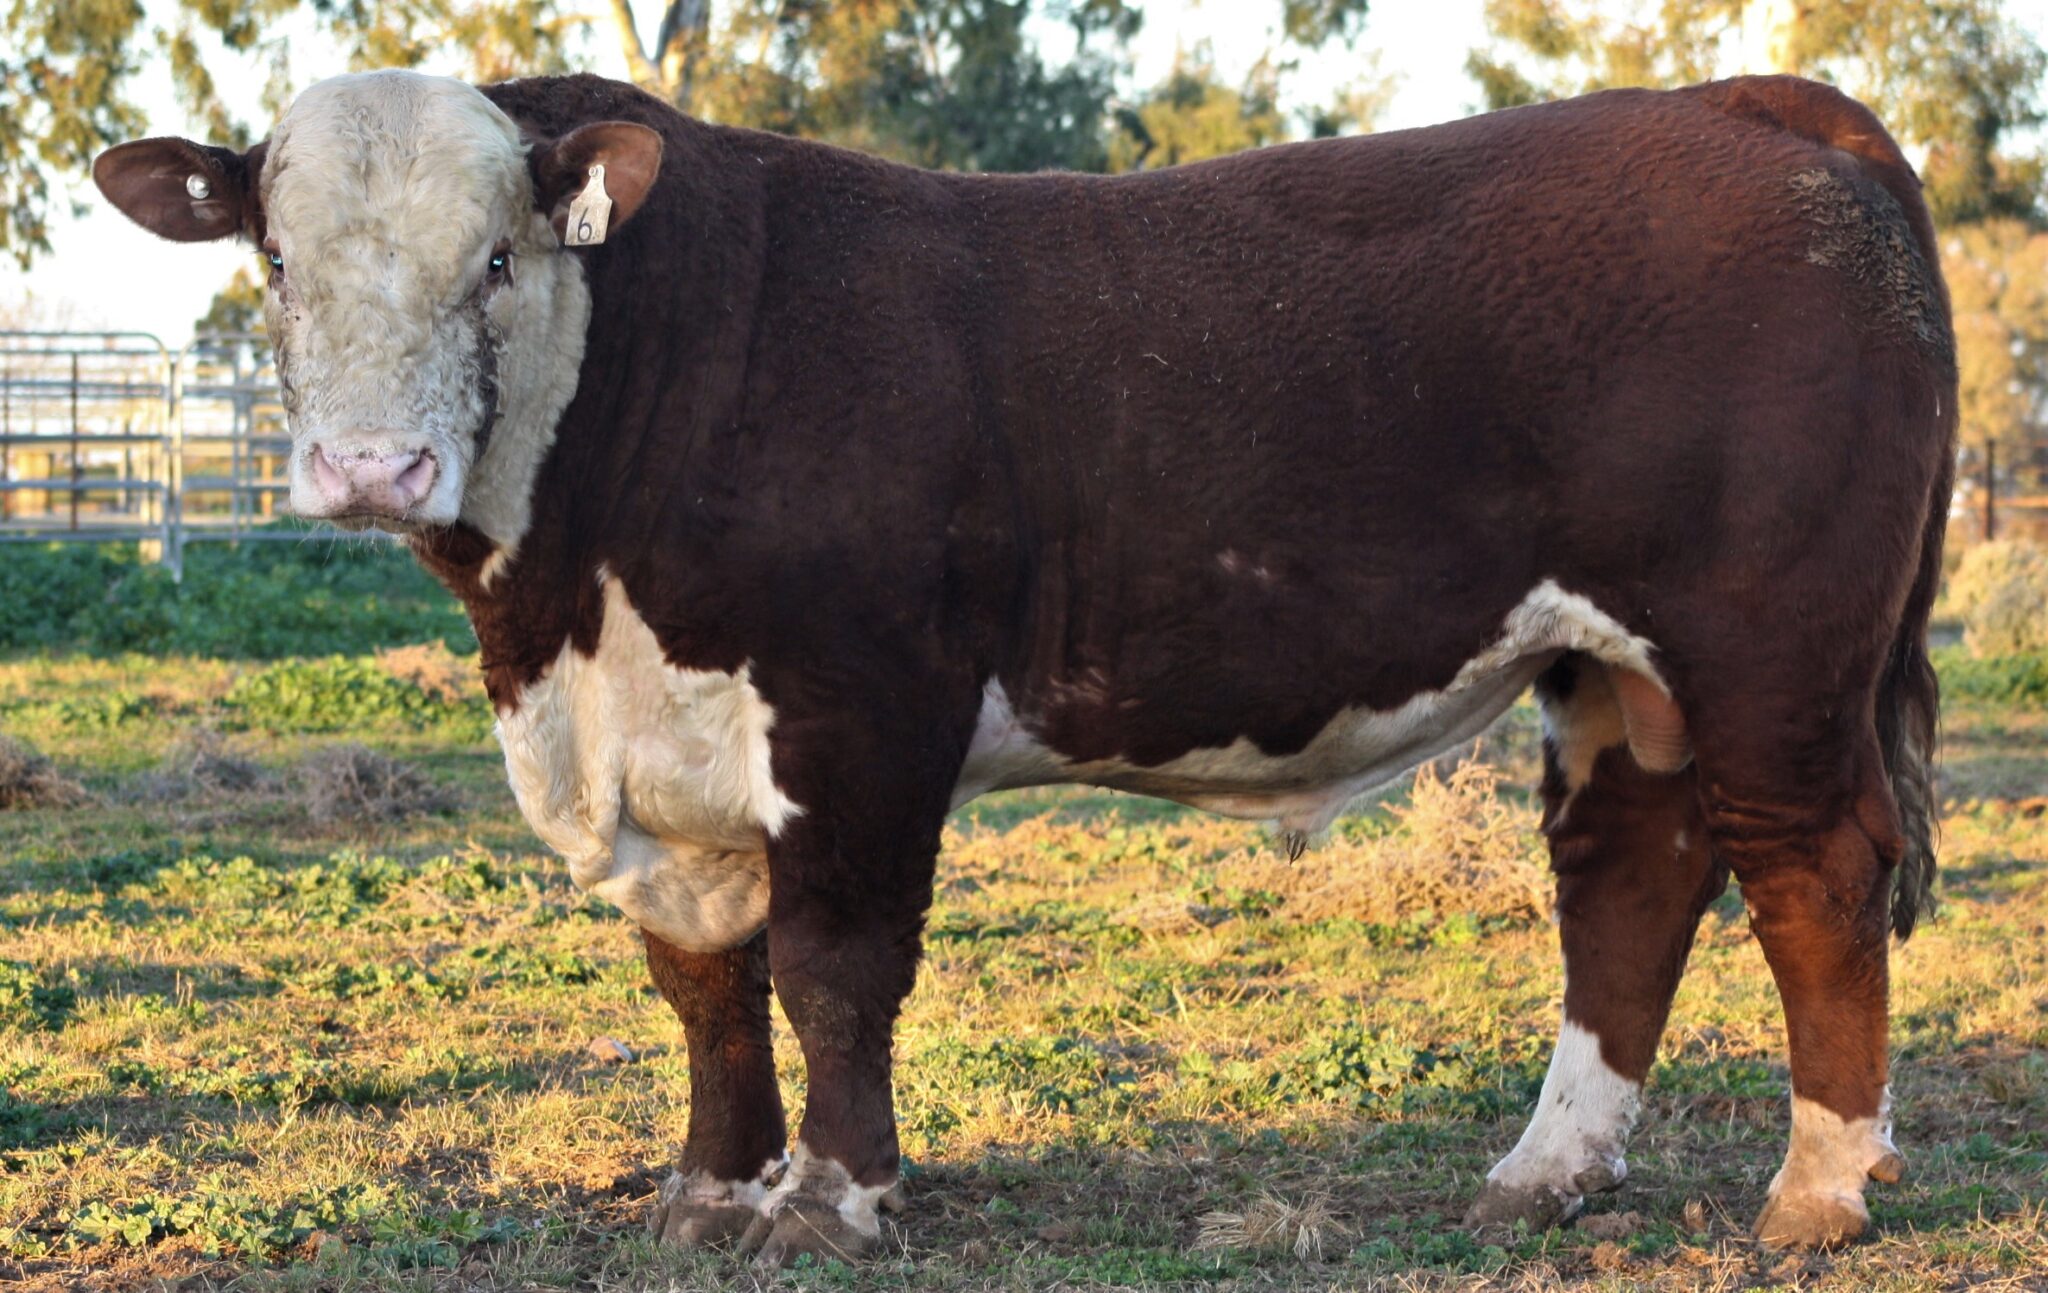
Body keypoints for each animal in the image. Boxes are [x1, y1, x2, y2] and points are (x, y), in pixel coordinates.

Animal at [94, 68, 1955, 1267]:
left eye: (494, 259)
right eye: (277, 262)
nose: (370, 467)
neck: (566, 619)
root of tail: (1754, 106)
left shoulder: (859, 710)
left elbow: (831, 966)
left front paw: (834, 1198)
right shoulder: (662, 745)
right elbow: (704, 974)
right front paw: (708, 1189)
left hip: (1768, 647)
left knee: (1812, 871)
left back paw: (1816, 1188)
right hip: (1614, 670)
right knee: (1632, 872)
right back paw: (1543, 1174)